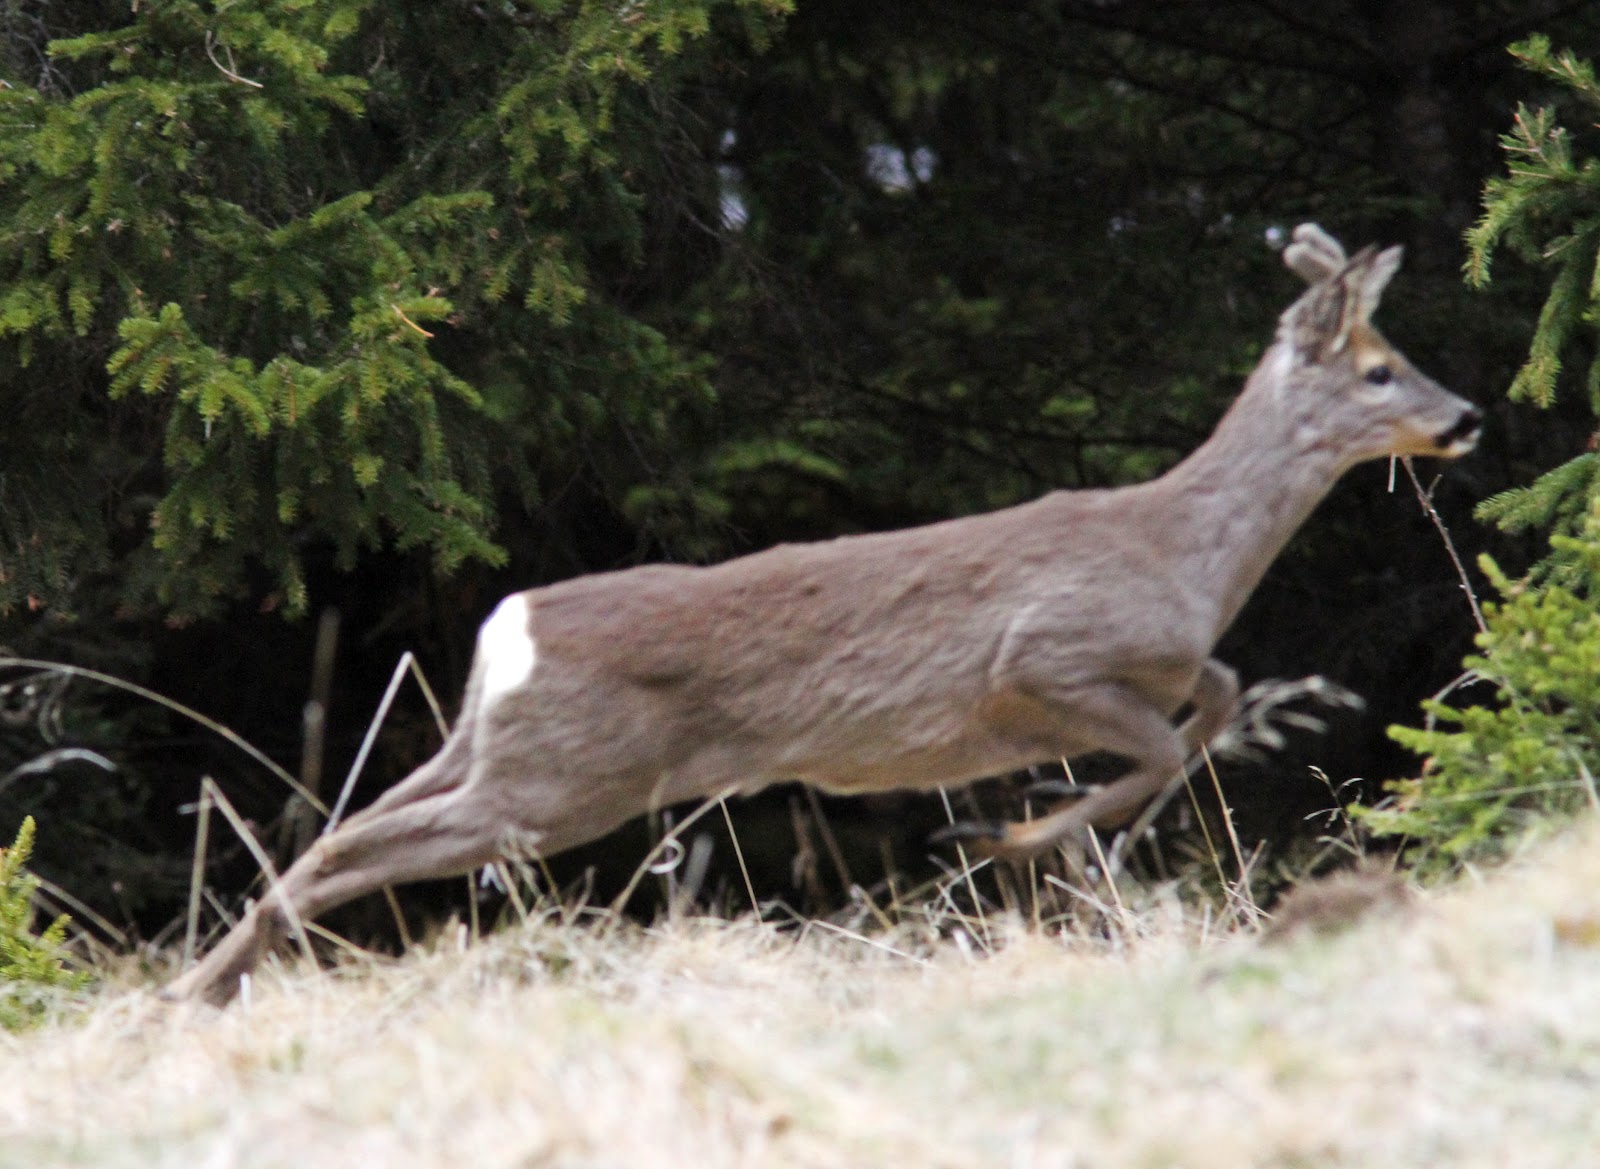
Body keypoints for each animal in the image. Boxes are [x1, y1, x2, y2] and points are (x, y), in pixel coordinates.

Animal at [165, 224, 1481, 1006]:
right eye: (1377, 369)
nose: (1464, 415)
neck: (1184, 552)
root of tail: (508, 622)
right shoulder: (1041, 658)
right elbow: (1166, 741)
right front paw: (999, 840)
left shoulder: (1143, 669)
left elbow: (1212, 700)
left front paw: (1013, 842)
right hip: (562, 780)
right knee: (354, 844)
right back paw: (208, 983)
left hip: (490, 745)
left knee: (336, 823)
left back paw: (203, 981)